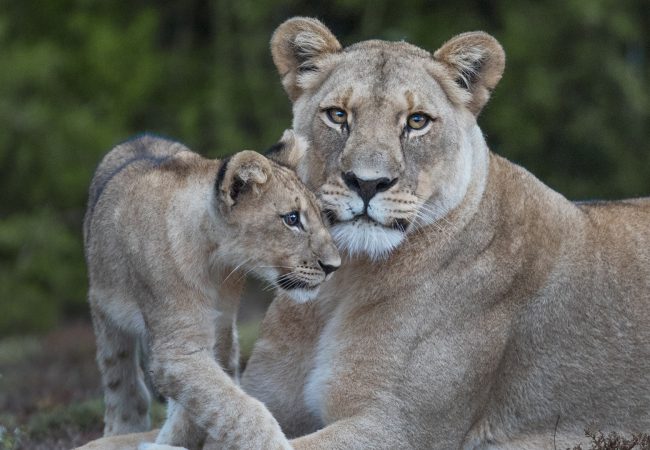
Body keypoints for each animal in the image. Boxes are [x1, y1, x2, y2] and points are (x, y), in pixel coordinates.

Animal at [82, 129, 339, 450]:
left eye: (321, 216)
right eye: (292, 219)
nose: (333, 266)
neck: (215, 263)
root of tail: (140, 137)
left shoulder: (218, 332)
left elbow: (208, 403)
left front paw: (170, 440)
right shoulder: (177, 350)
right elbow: (238, 407)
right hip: (105, 310)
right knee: (119, 374)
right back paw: (122, 427)